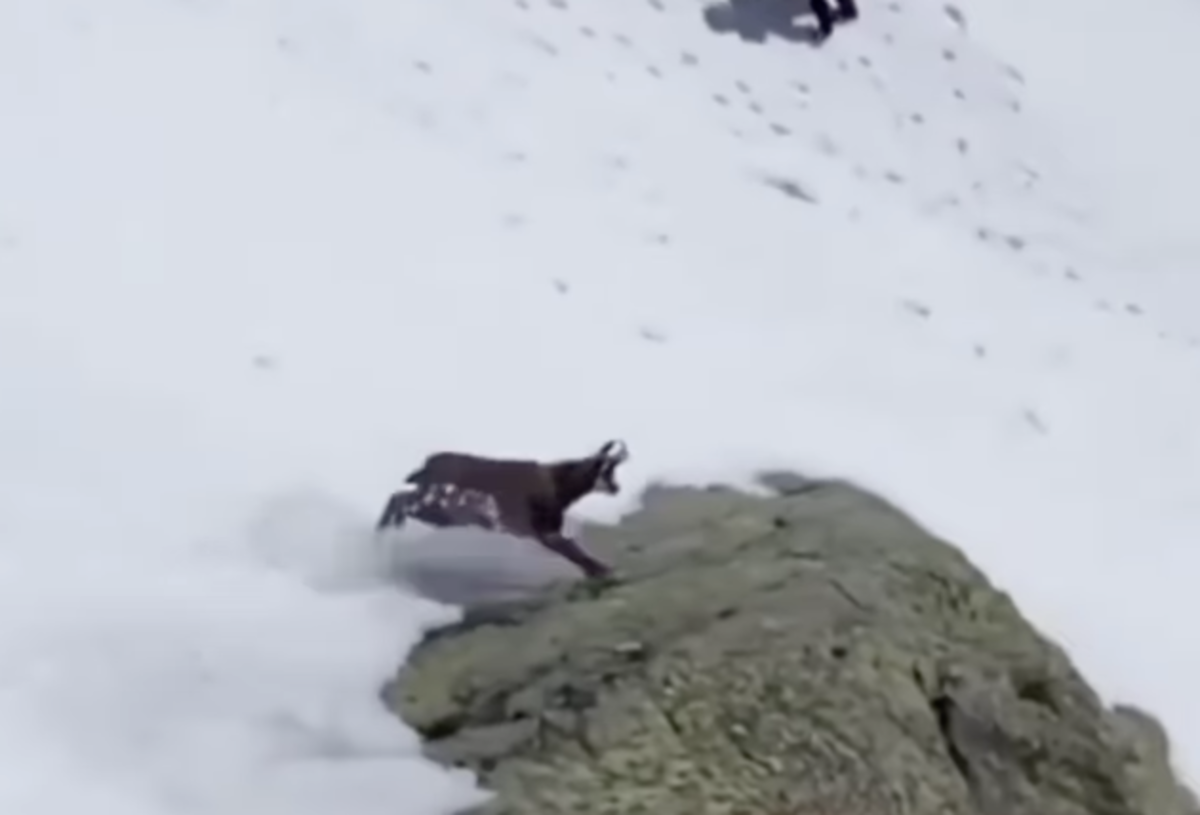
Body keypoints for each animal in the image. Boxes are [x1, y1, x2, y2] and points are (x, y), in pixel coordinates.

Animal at [375, 440, 630, 579]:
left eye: (613, 468)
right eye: (604, 469)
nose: (616, 488)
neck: (555, 483)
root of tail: (426, 466)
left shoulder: (546, 530)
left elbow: (571, 549)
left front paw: (597, 571)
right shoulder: (538, 530)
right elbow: (571, 549)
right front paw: (604, 570)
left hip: (436, 511)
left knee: (398, 498)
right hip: (433, 504)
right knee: (398, 499)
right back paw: (383, 534)